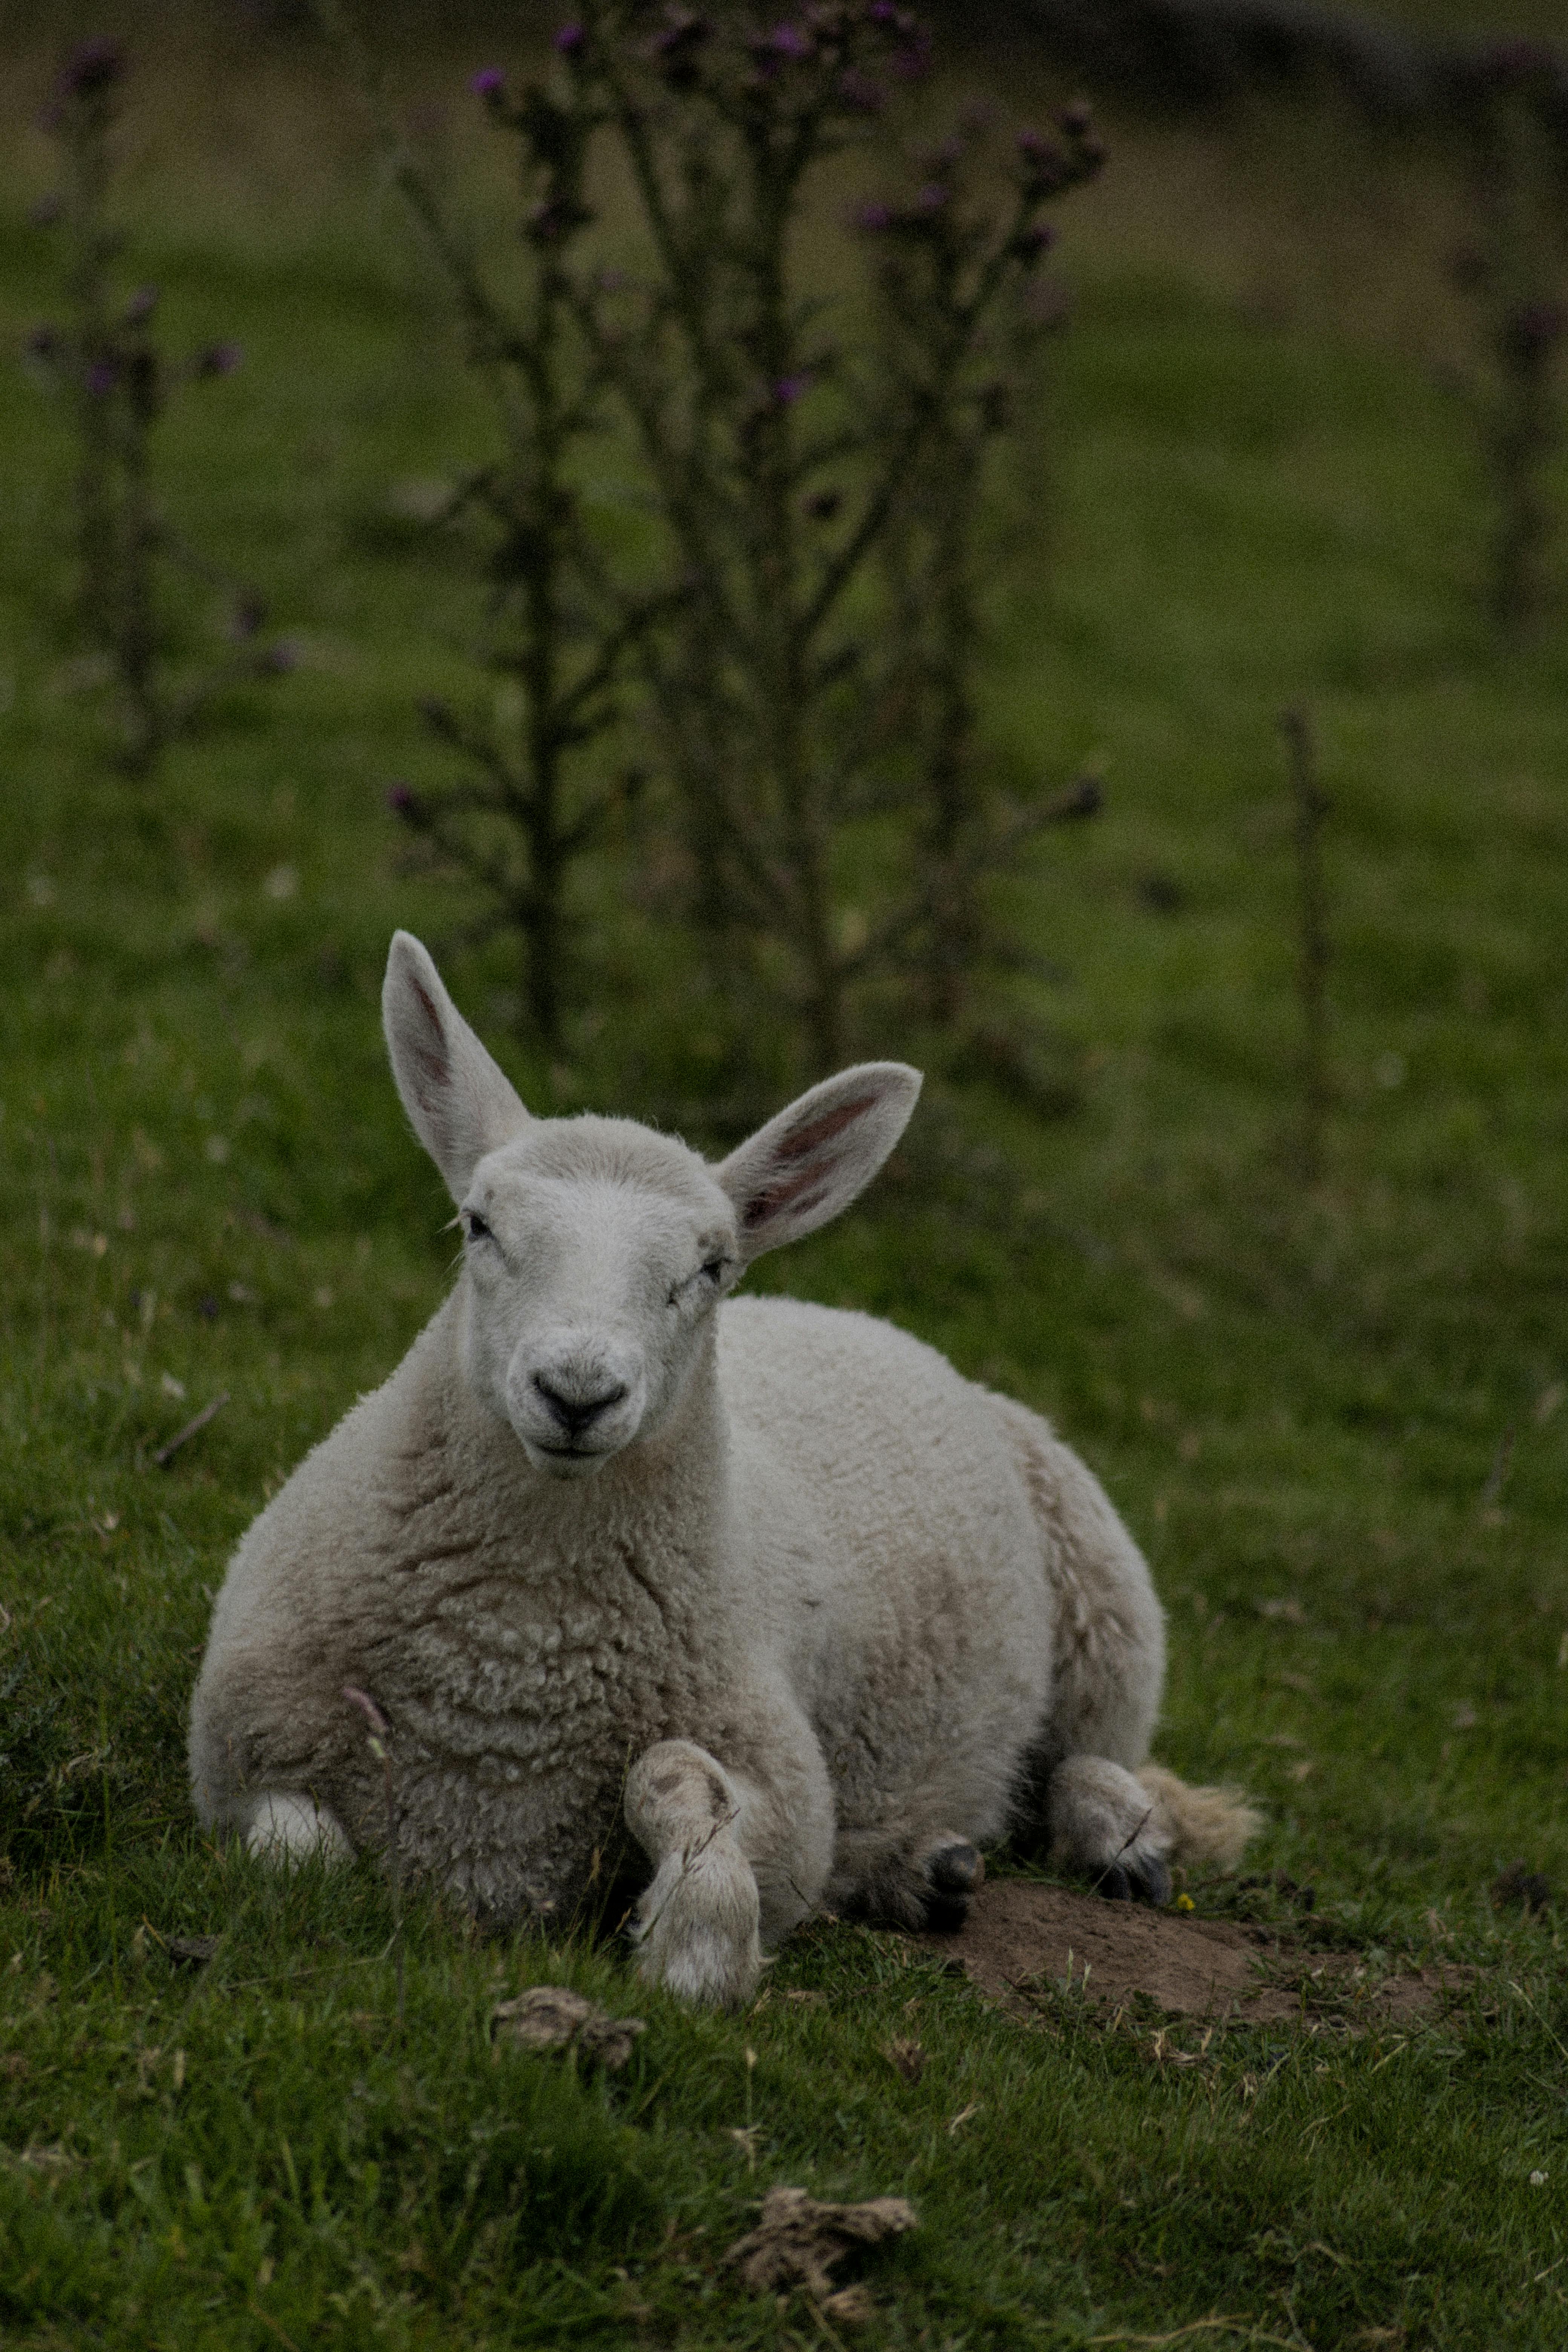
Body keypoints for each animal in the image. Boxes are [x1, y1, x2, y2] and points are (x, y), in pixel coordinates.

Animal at [189, 931, 1257, 2008]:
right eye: (478, 1224)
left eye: (711, 1267)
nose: (577, 1392)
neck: (507, 1676)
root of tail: (857, 1316)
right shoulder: (237, 1761)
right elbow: (299, 1859)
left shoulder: (786, 1789)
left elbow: (672, 1774)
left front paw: (694, 1950)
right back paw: (923, 1867)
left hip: (1107, 1601)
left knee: (1087, 1754)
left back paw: (1115, 1835)